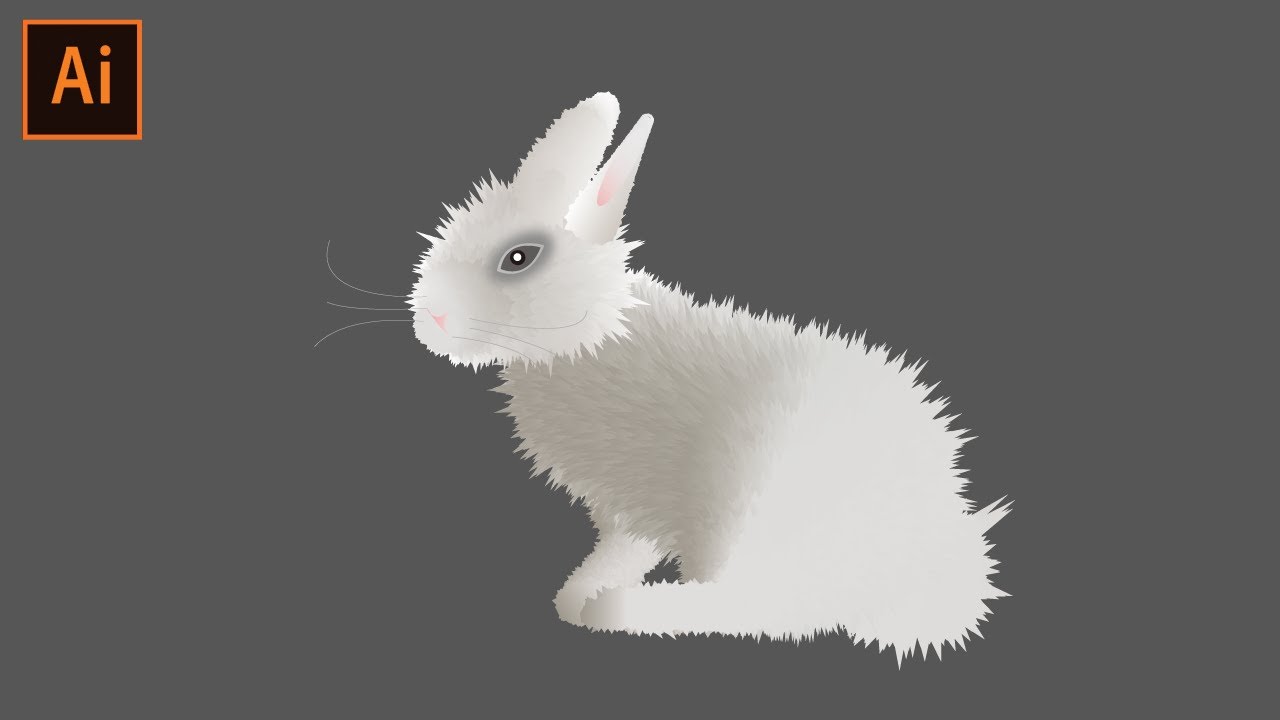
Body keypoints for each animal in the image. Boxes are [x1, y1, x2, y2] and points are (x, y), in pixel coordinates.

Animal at [404, 92, 1010, 664]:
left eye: (519, 258)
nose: (430, 320)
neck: (599, 331)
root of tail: (929, 560)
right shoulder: (629, 511)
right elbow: (618, 553)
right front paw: (576, 593)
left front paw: (591, 600)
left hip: (747, 490)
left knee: (759, 601)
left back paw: (618, 611)